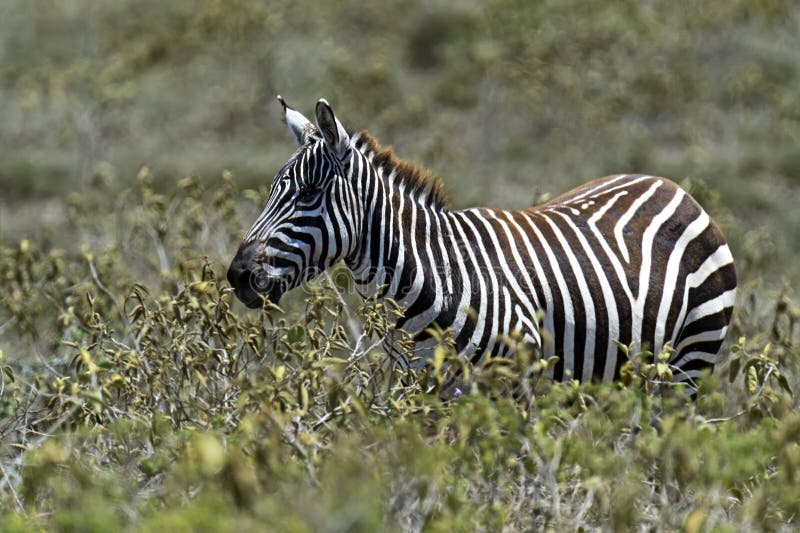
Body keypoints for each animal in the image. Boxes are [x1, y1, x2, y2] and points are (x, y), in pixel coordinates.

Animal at [227, 96, 737, 389]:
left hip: (691, 361)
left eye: (310, 193)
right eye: (271, 191)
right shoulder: (423, 385)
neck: (432, 278)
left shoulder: (515, 380)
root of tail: (669, 184)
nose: (237, 276)